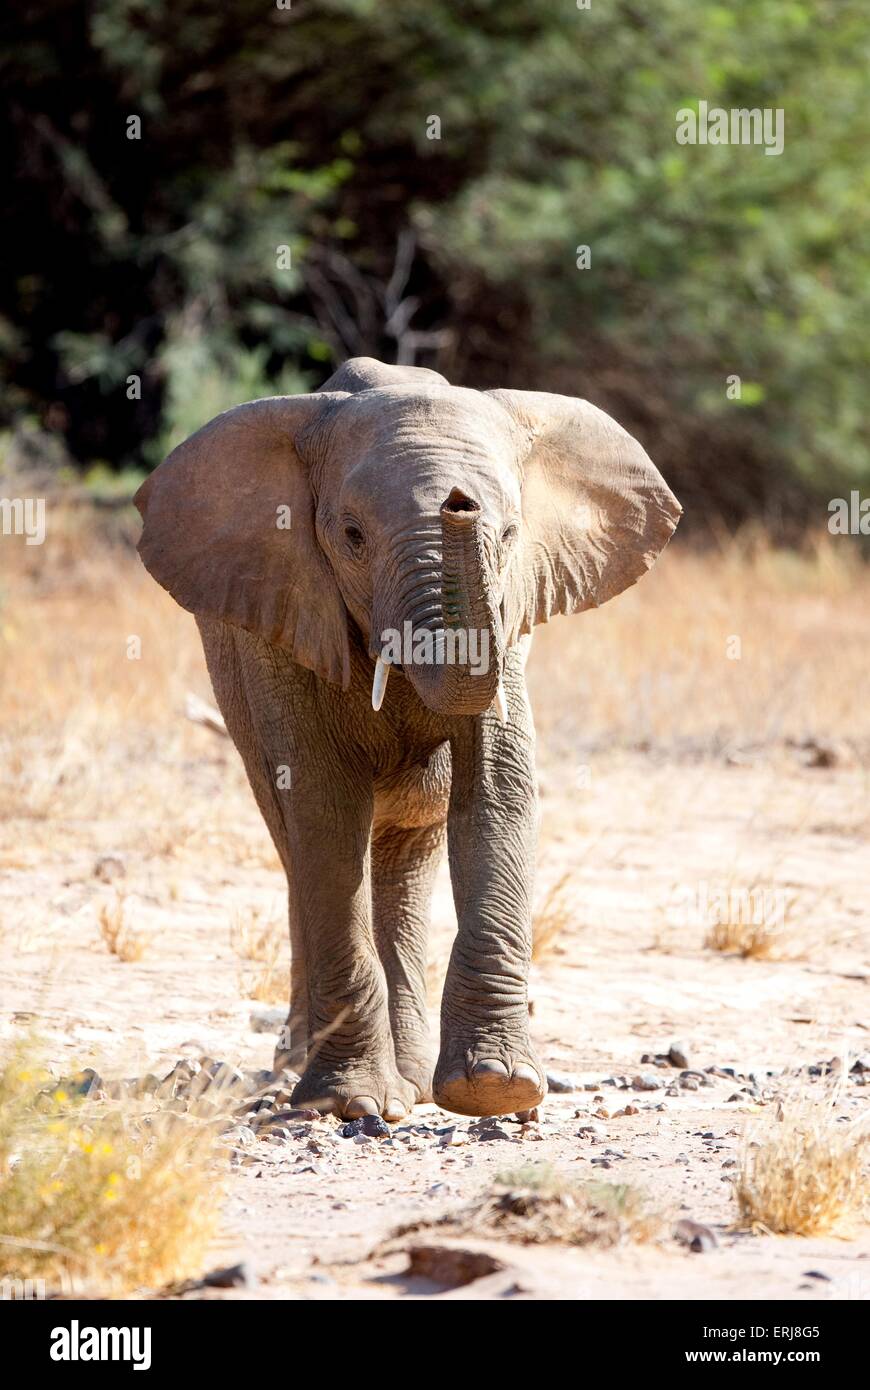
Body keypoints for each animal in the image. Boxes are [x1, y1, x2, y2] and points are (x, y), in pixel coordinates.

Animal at [134, 357, 680, 1121]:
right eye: (351, 534)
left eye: (511, 534)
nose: (458, 503)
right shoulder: (283, 618)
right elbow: (324, 809)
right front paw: (350, 1105)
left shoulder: (510, 625)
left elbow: (499, 790)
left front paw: (494, 1089)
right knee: (297, 842)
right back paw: (311, 1071)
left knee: (406, 850)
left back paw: (414, 1081)